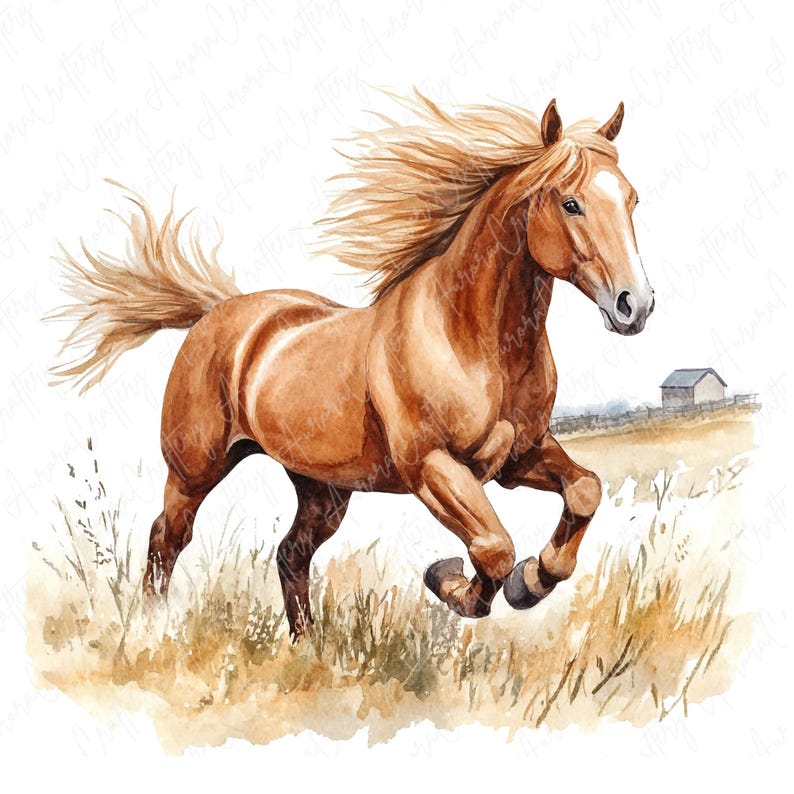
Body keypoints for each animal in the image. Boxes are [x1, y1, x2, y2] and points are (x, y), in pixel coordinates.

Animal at [51, 93, 654, 640]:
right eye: (571, 203)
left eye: (631, 198)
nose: (635, 305)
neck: (474, 339)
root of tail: (215, 313)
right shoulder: (432, 467)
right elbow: (493, 548)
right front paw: (454, 582)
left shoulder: (519, 456)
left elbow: (584, 491)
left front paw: (534, 579)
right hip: (193, 470)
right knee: (166, 540)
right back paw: (154, 632)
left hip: (323, 489)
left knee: (290, 554)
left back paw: (308, 649)